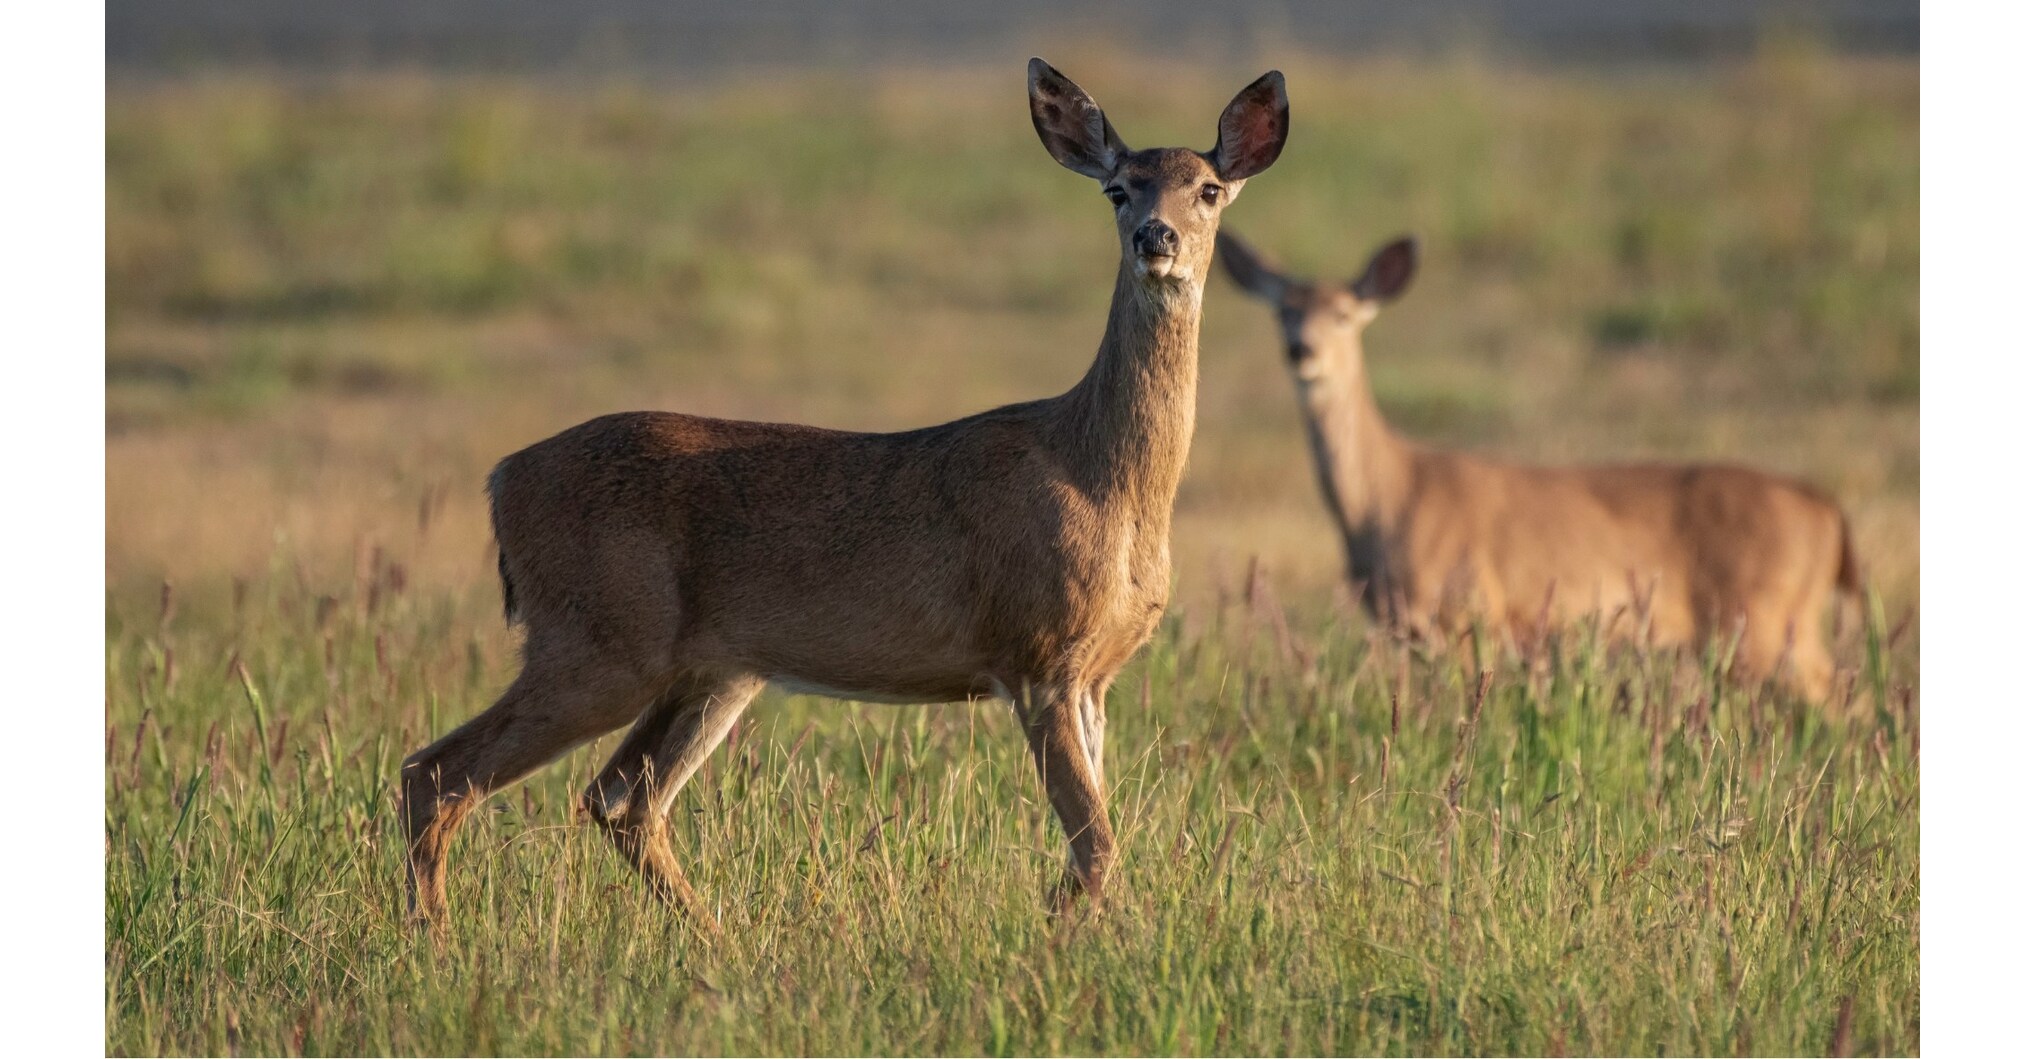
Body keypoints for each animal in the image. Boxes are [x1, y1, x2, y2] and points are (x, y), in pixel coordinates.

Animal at [400, 60, 1291, 932]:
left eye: (1207, 189)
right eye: (1117, 189)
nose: (1155, 237)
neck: (1101, 475)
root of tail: (502, 478)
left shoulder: (1095, 674)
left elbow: (1097, 842)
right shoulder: (1035, 652)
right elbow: (1097, 845)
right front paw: (1052, 937)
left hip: (709, 668)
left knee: (618, 797)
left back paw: (720, 947)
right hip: (598, 637)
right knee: (438, 771)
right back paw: (436, 942)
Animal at [1215, 231, 1860, 699]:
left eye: (1347, 314)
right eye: (1282, 310)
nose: (1302, 350)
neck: (1390, 498)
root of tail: (1826, 508)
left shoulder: (1468, 612)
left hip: (1763, 617)